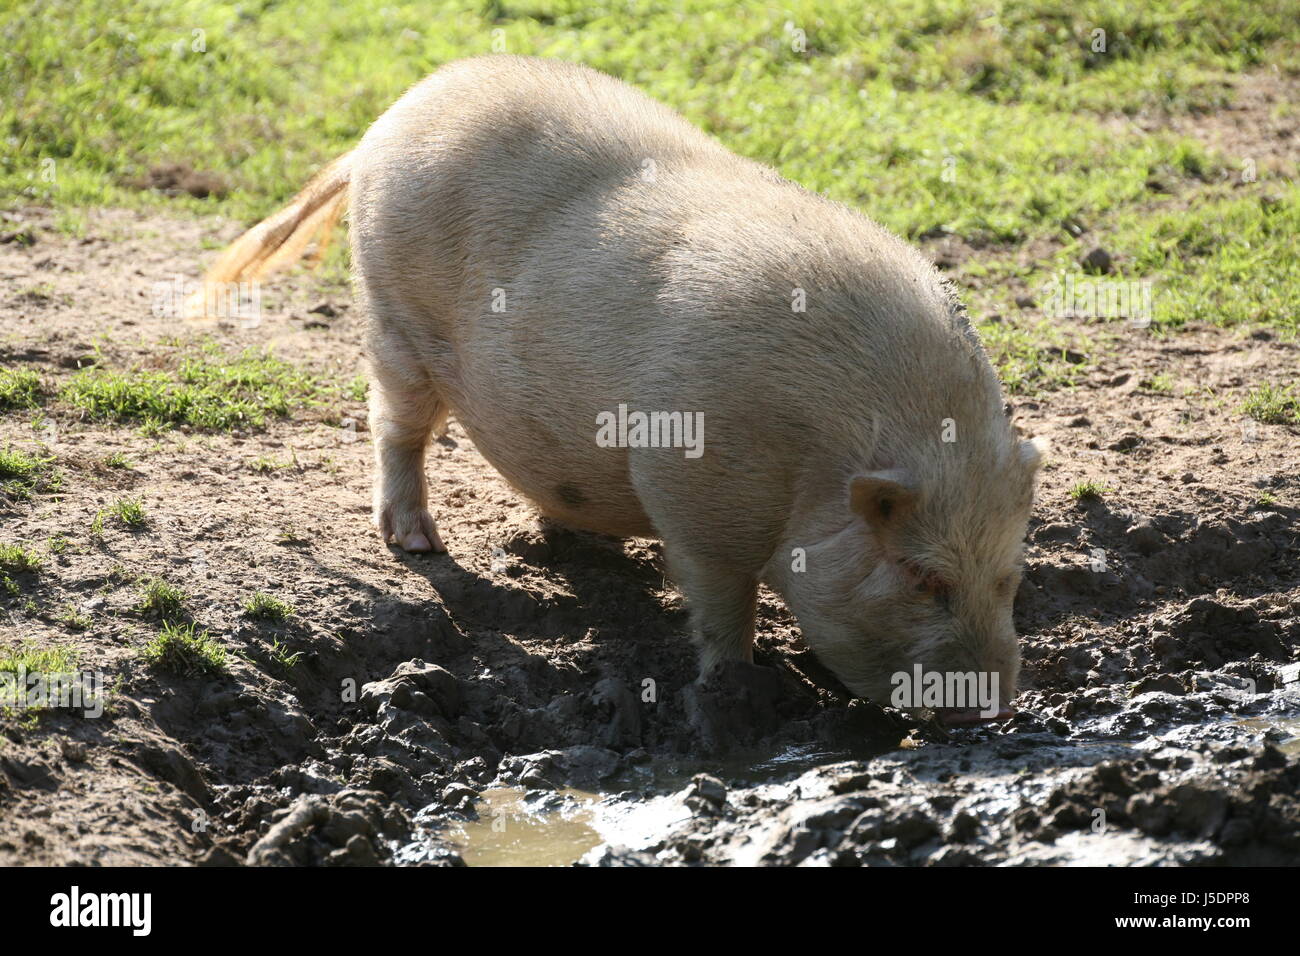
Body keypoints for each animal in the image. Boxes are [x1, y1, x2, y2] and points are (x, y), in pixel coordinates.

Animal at [194, 55, 1044, 723]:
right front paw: (736, 685)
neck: (820, 459)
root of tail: (393, 117)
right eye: (922, 576)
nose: (993, 708)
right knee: (395, 425)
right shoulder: (692, 493)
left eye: (1010, 576)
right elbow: (720, 602)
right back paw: (417, 541)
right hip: (392, 312)